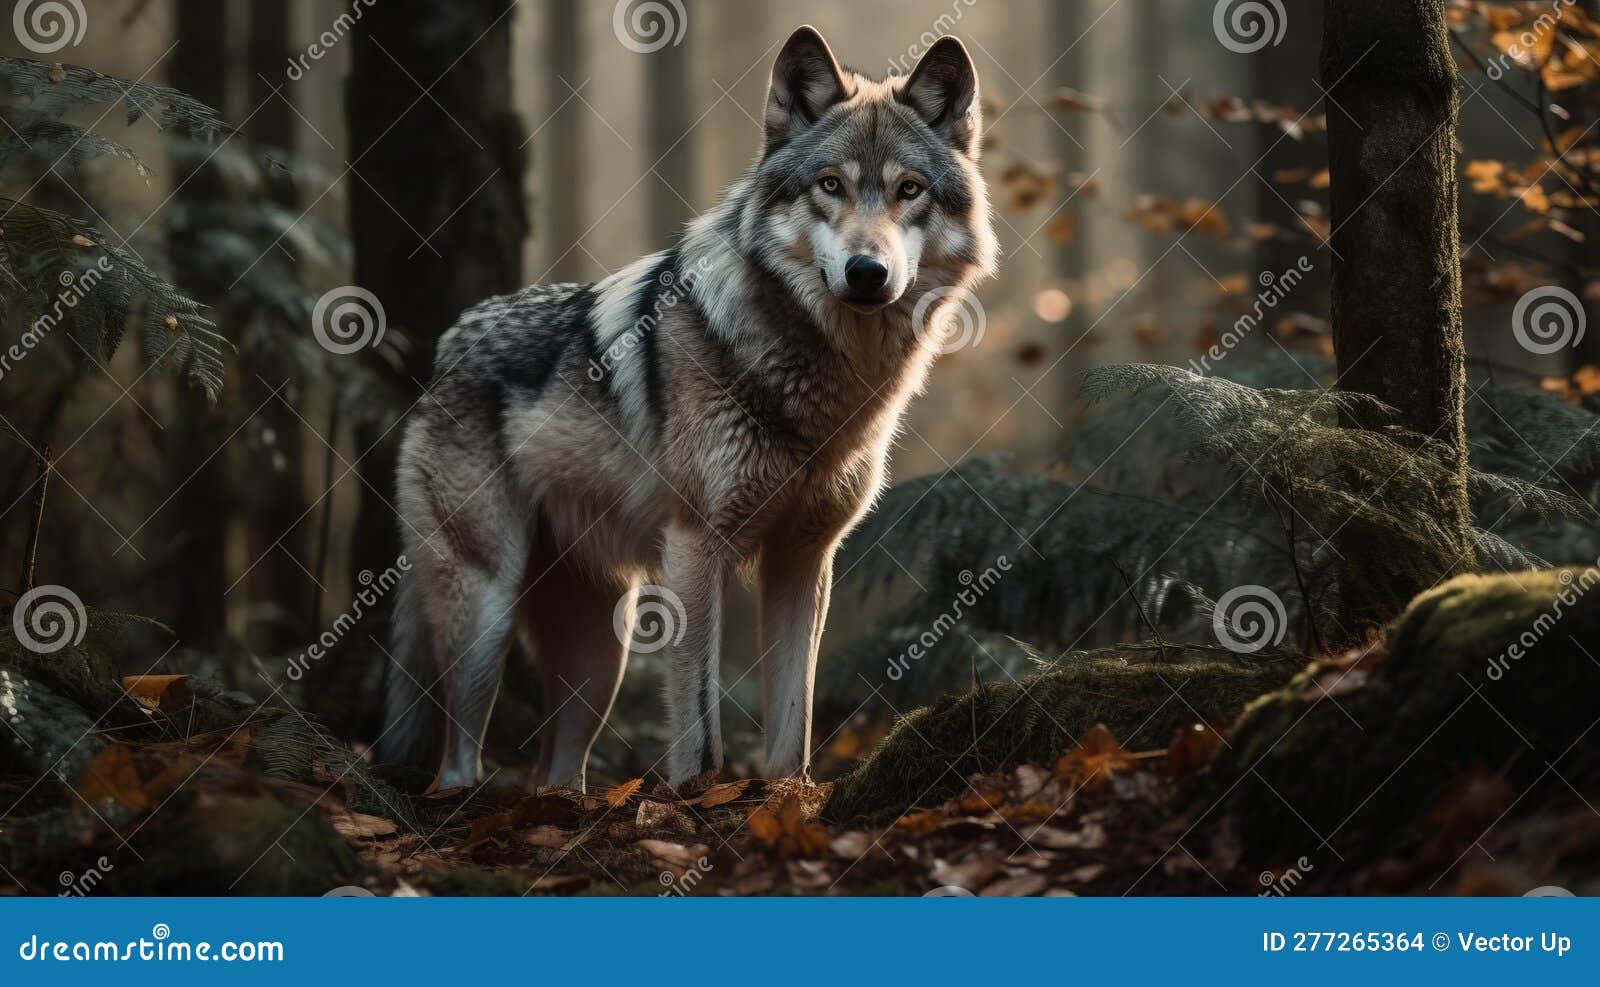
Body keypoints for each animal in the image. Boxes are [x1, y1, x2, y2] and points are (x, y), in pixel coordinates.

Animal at [375, 26, 998, 792]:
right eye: (831, 185)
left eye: (910, 190)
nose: (867, 272)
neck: (820, 387)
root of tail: (449, 343)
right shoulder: (697, 547)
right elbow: (700, 730)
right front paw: (696, 799)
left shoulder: (803, 559)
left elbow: (794, 726)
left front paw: (787, 800)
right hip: (486, 606)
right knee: (457, 753)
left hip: (599, 657)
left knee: (558, 768)